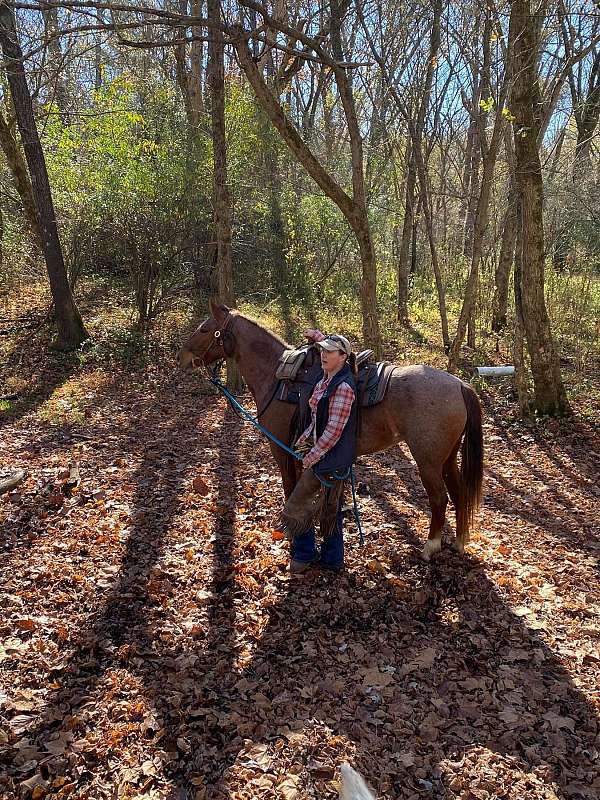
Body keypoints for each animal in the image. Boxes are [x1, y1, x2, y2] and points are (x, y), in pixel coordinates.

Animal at [178, 300, 484, 560]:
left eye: (205, 329)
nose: (182, 357)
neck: (277, 378)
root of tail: (460, 384)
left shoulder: (281, 448)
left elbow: (289, 488)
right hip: (447, 457)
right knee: (459, 493)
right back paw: (459, 541)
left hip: (428, 460)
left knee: (439, 498)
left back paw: (431, 546)